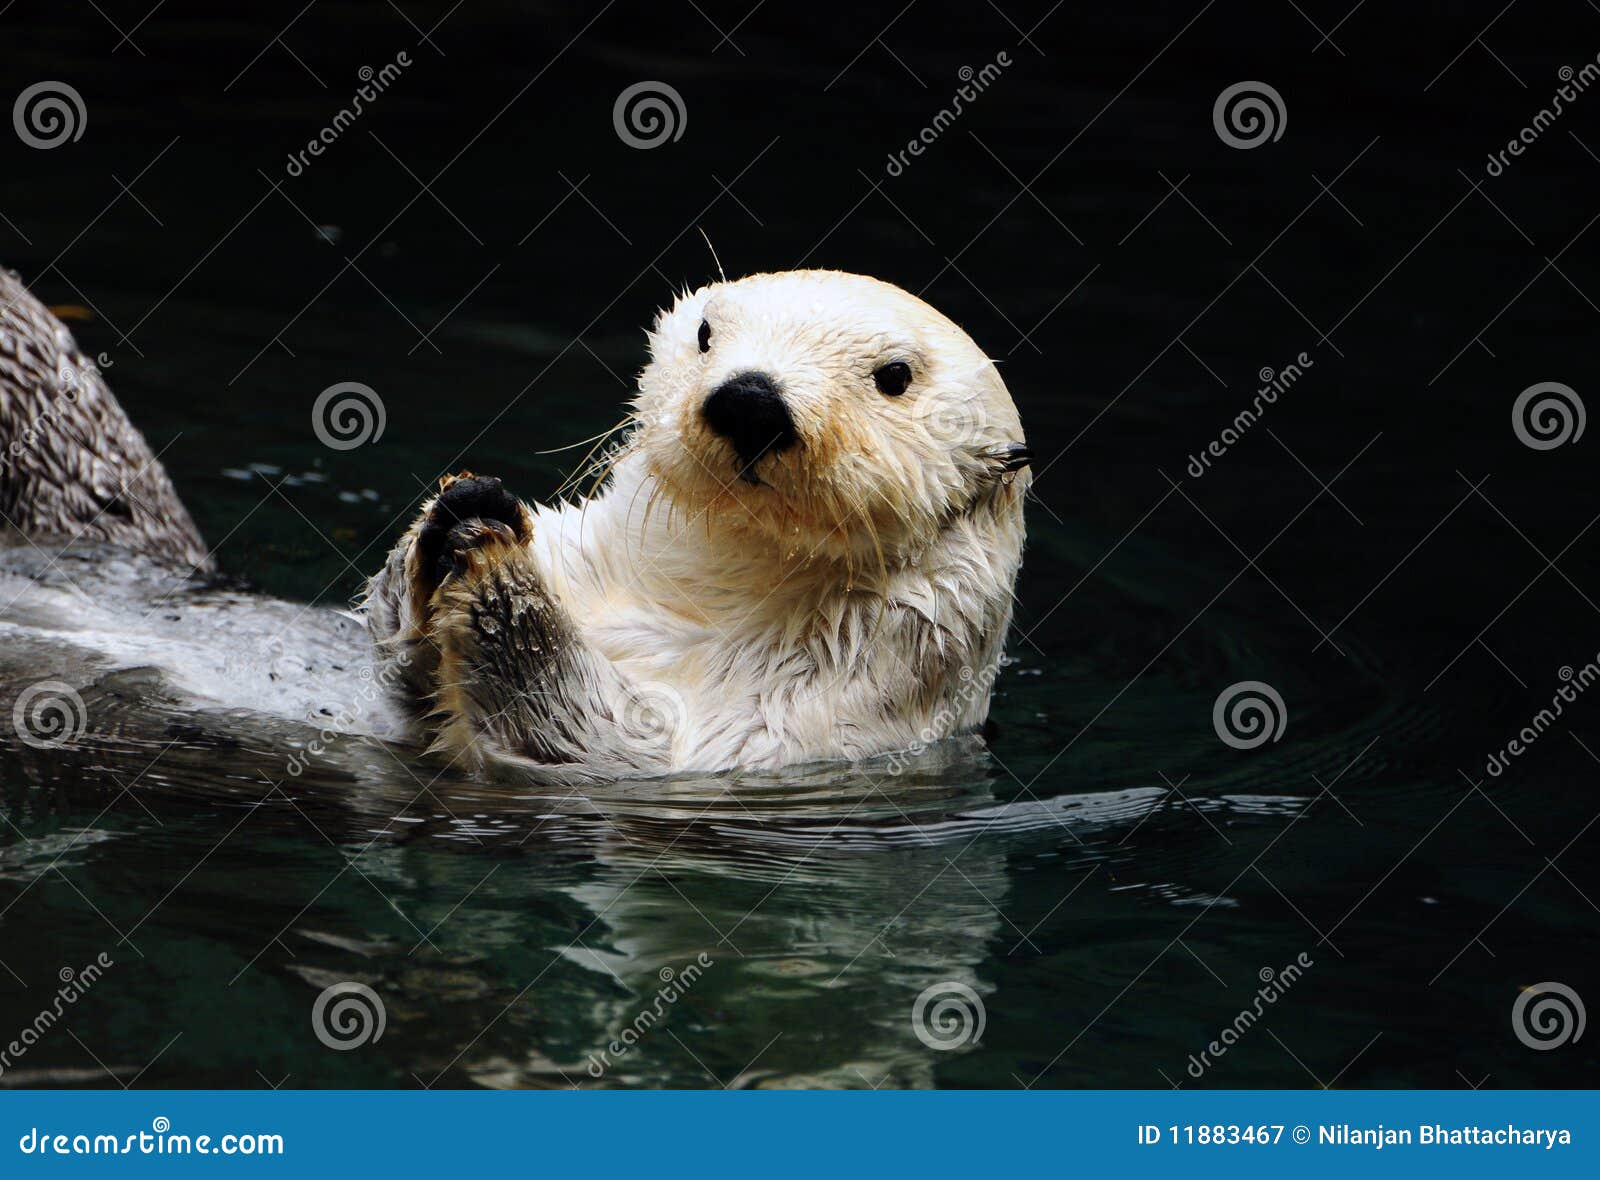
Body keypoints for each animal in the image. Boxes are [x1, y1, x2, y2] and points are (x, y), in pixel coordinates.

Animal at [1, 267, 1029, 783]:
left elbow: (615, 739)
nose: (750, 399)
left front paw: (503, 580)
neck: (700, 588)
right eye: (708, 335)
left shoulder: (807, 715)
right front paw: (452, 520)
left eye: (894, 376)